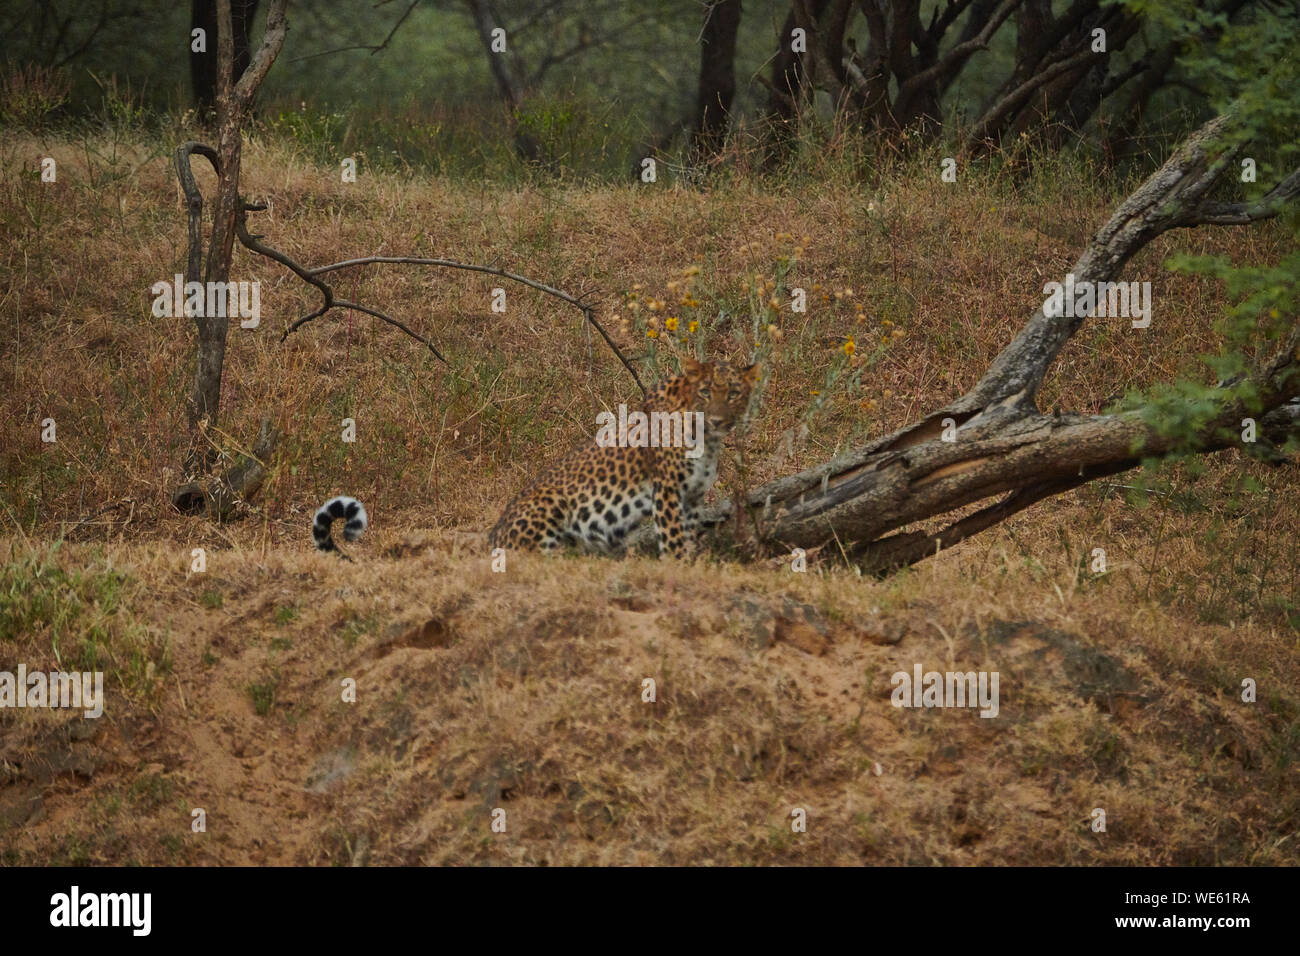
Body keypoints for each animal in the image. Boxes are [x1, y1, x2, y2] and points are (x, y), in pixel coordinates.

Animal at [488, 357, 760, 558]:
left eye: (734, 393)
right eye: (705, 392)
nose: (717, 421)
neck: (707, 440)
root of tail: (492, 537)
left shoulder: (693, 496)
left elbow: (689, 534)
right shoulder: (667, 489)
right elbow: (673, 536)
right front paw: (678, 564)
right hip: (549, 501)